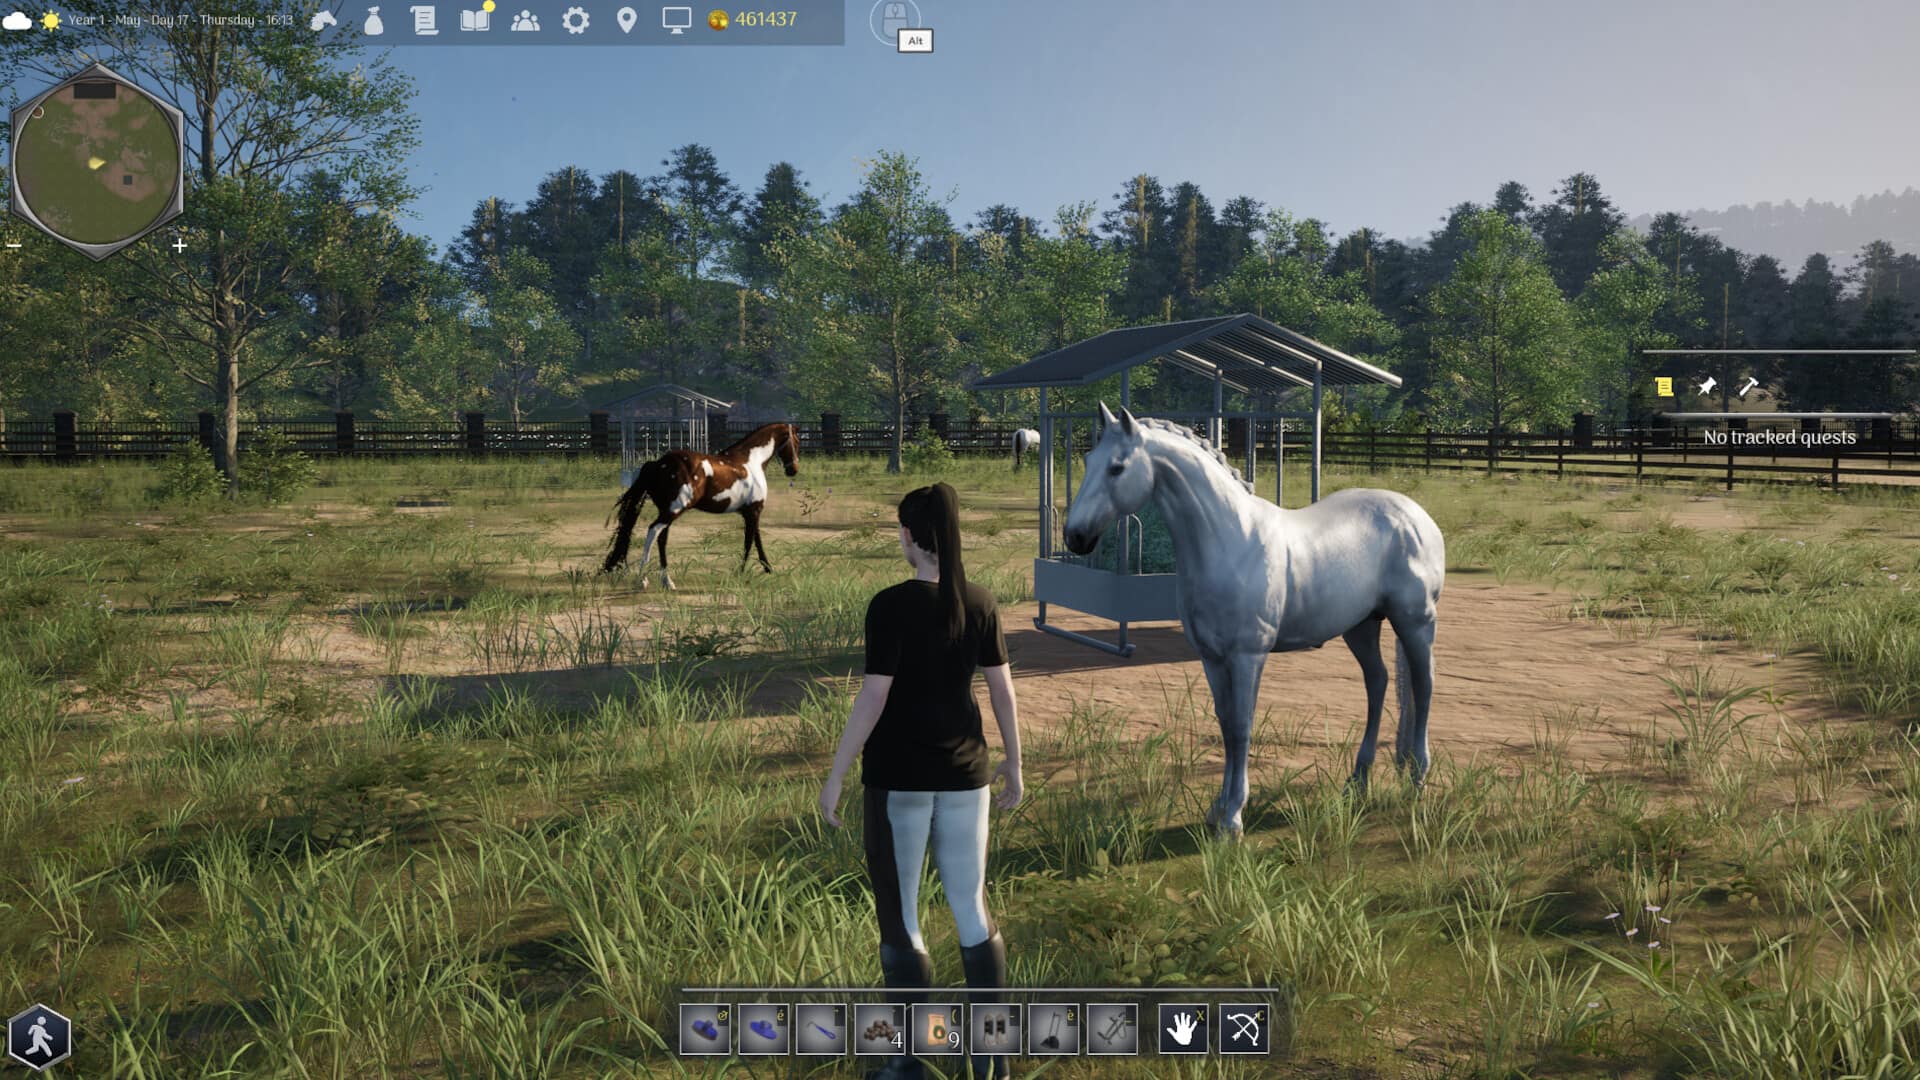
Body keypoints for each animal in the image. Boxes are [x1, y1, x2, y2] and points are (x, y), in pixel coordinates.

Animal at [601, 421, 801, 589]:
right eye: (797, 442)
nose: (793, 470)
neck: (751, 463)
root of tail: (658, 464)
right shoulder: (754, 510)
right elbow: (749, 542)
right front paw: (743, 572)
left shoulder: (749, 512)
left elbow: (755, 539)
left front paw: (767, 568)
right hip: (674, 509)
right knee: (653, 531)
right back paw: (642, 579)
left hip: (667, 511)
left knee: (661, 538)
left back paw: (667, 581)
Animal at [1062, 404, 1445, 837]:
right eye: (1089, 460)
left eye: (1117, 467)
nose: (1075, 537)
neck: (1230, 541)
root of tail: (1416, 516)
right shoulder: (1212, 658)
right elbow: (1226, 725)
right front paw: (1217, 809)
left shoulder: (1247, 655)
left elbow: (1242, 726)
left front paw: (1233, 818)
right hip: (1361, 626)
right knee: (1378, 683)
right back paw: (1357, 781)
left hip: (1415, 622)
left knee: (1423, 685)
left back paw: (1417, 776)